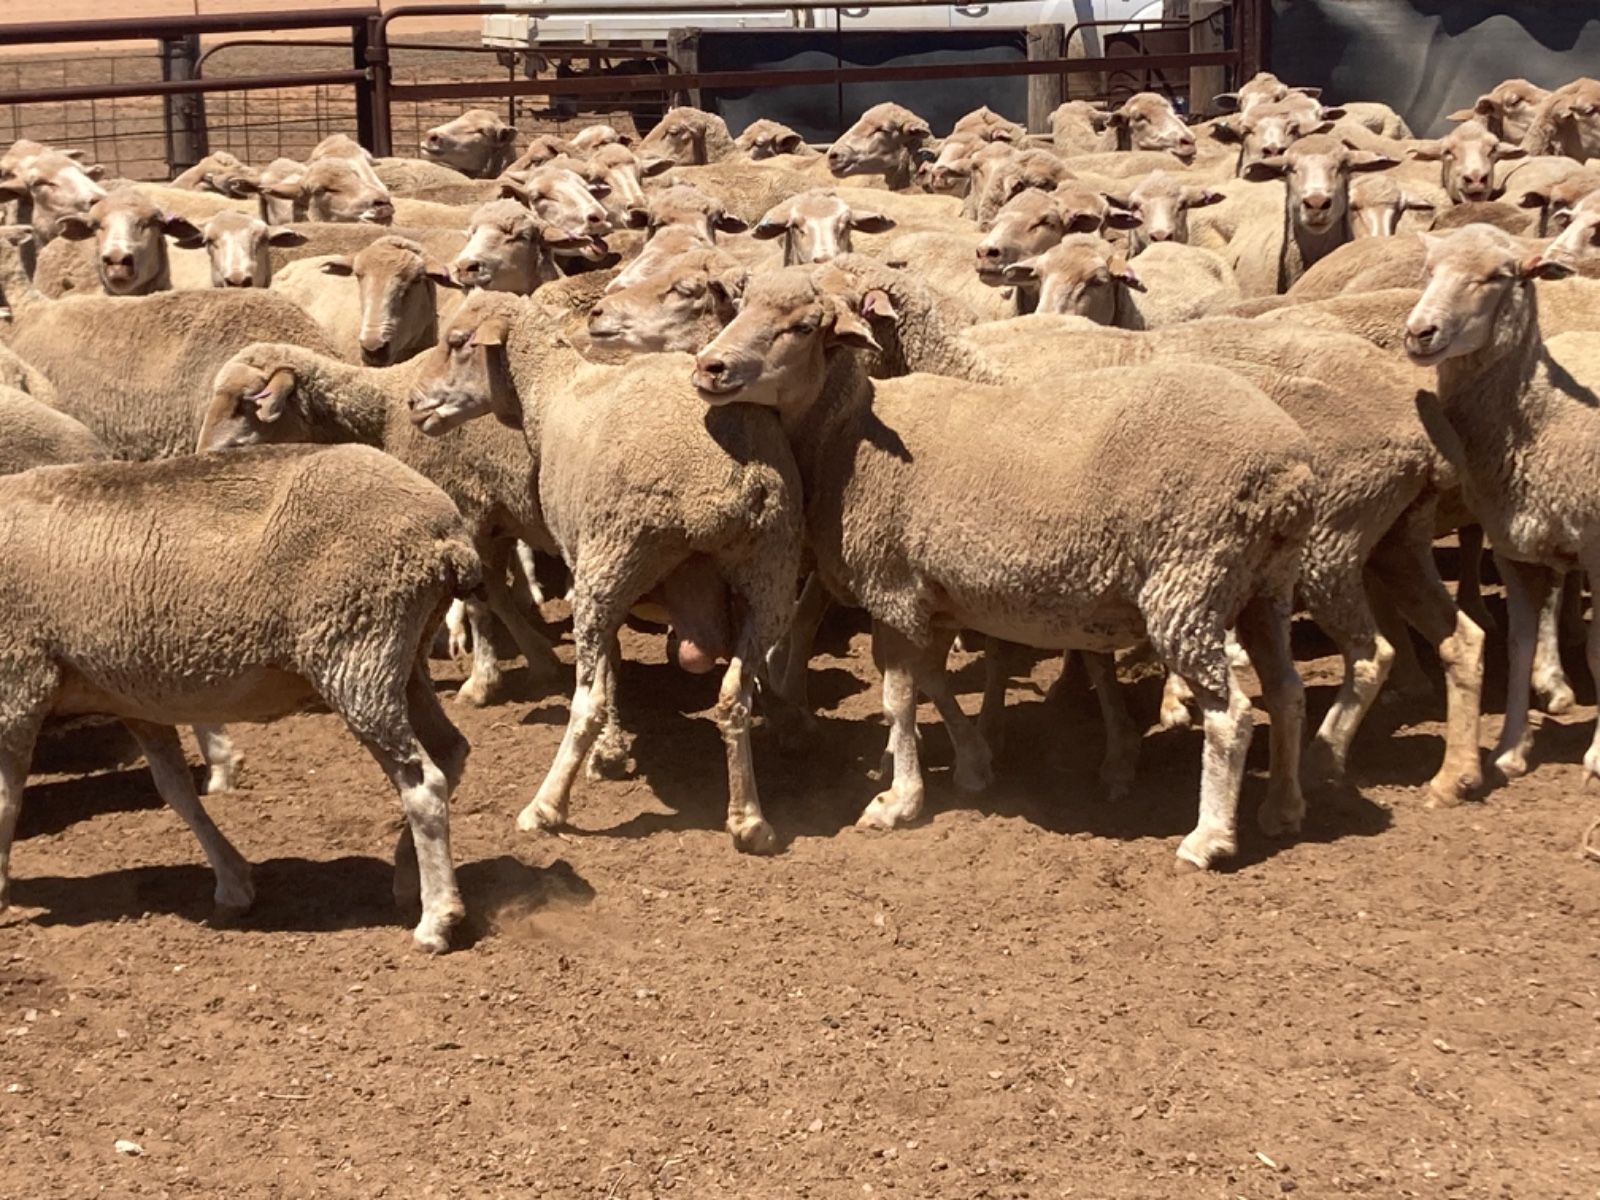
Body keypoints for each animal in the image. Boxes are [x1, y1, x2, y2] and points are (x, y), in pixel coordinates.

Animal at [0, 443, 479, 952]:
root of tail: (446, 531)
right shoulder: (135, 701)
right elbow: (176, 791)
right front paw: (234, 885)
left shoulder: (17, 683)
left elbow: (7, 800)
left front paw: (1, 895)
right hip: (402, 662)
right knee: (451, 751)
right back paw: (409, 879)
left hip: (356, 653)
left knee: (422, 784)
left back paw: (438, 919)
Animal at [199, 344, 560, 708]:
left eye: (245, 403)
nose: (202, 457)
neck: (384, 415)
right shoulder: (488, 522)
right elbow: (495, 598)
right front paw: (542, 663)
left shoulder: (469, 514)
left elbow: (481, 605)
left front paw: (483, 682)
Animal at [692, 263, 1314, 869]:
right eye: (738, 306)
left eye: (802, 326)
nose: (709, 366)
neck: (846, 433)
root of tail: (1290, 470)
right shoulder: (938, 598)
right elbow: (932, 681)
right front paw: (974, 762)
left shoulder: (893, 588)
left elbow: (898, 699)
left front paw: (899, 800)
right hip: (1263, 587)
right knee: (1286, 690)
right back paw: (1283, 806)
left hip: (1190, 581)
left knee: (1232, 714)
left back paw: (1207, 838)